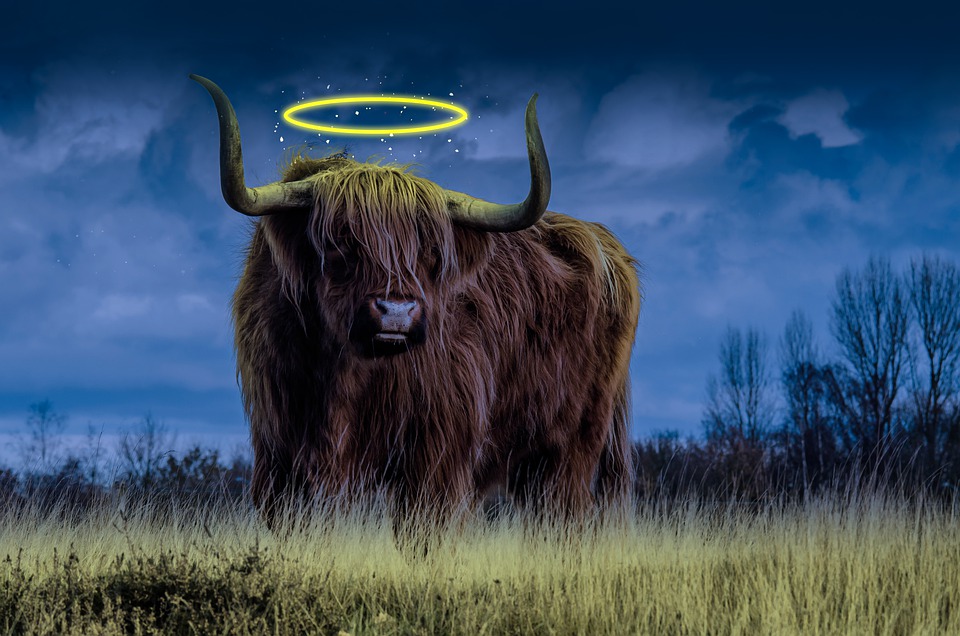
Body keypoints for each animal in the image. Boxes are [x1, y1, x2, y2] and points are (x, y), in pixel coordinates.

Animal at [191, 75, 641, 536]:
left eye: (429, 252)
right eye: (339, 243)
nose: (396, 312)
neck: (344, 374)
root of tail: (604, 243)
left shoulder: (438, 452)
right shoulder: (280, 450)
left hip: (572, 445)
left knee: (565, 514)